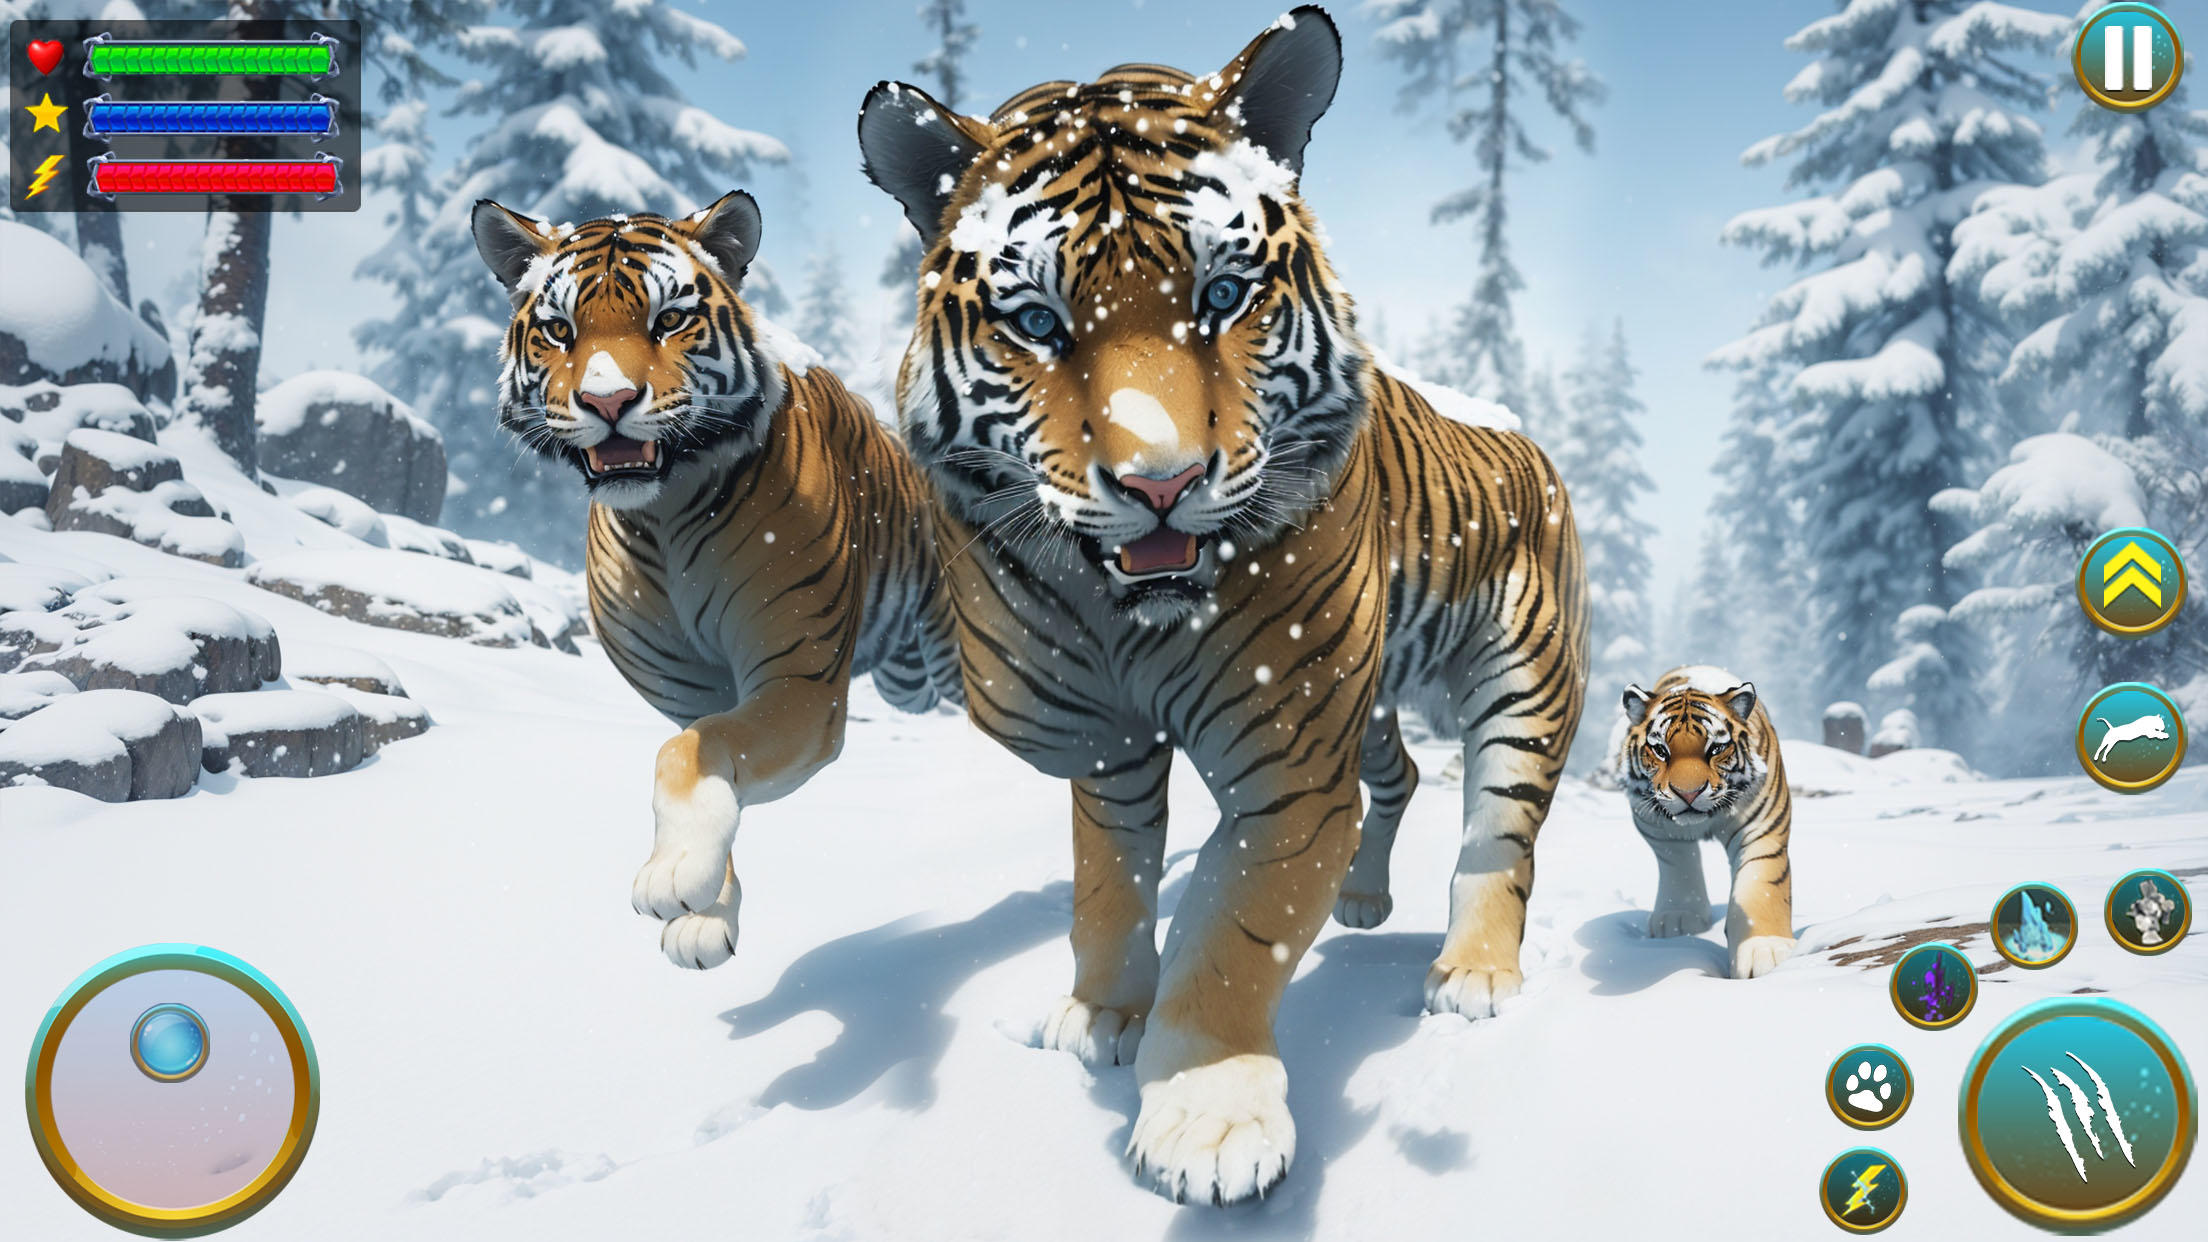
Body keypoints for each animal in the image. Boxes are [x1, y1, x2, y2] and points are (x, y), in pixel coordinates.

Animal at [469, 190, 962, 970]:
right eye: (558, 329)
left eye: (668, 319)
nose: (608, 401)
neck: (663, 512)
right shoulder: (692, 693)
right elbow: (706, 747)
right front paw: (702, 915)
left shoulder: (798, 679)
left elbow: (693, 750)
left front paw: (673, 876)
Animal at [857, 6, 1588, 1204]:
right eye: (1038, 322)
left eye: (1221, 297)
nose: (1160, 483)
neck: (1129, 614)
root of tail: (1522, 433)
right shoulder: (1112, 750)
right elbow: (1107, 882)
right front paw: (1102, 1015)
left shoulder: (1289, 762)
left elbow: (1238, 931)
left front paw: (1207, 1121)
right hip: (1371, 699)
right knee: (1396, 777)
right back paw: (1365, 903)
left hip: (1523, 679)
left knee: (1500, 829)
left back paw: (1472, 973)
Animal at [1619, 666, 1795, 980]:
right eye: (1660, 750)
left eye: (1716, 748)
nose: (1688, 792)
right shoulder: (1657, 828)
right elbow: (1679, 864)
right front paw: (1678, 919)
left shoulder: (1760, 829)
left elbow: (1760, 886)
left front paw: (1766, 951)